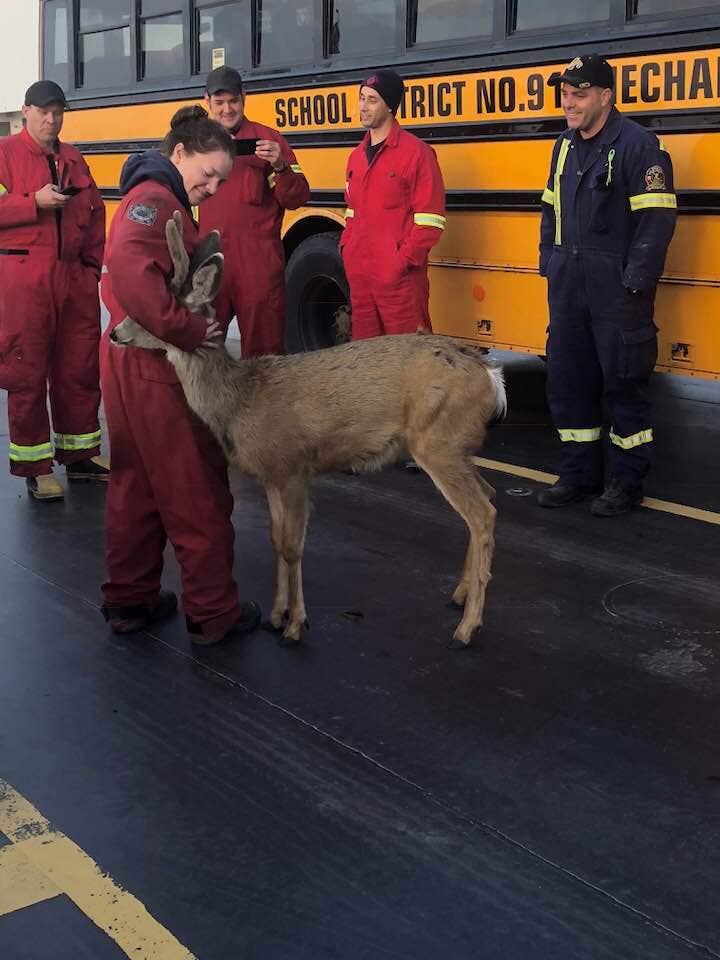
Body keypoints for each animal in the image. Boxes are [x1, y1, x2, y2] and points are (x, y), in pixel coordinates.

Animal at [110, 213, 507, 649]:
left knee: (482, 513)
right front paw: (275, 614)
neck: (241, 399)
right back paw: (460, 595)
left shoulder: (294, 467)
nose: (115, 333)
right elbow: (274, 539)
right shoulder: (271, 474)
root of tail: (491, 376)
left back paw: (467, 627)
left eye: (148, 309)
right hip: (456, 446)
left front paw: (296, 624)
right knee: (487, 497)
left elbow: (292, 546)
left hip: (437, 442)